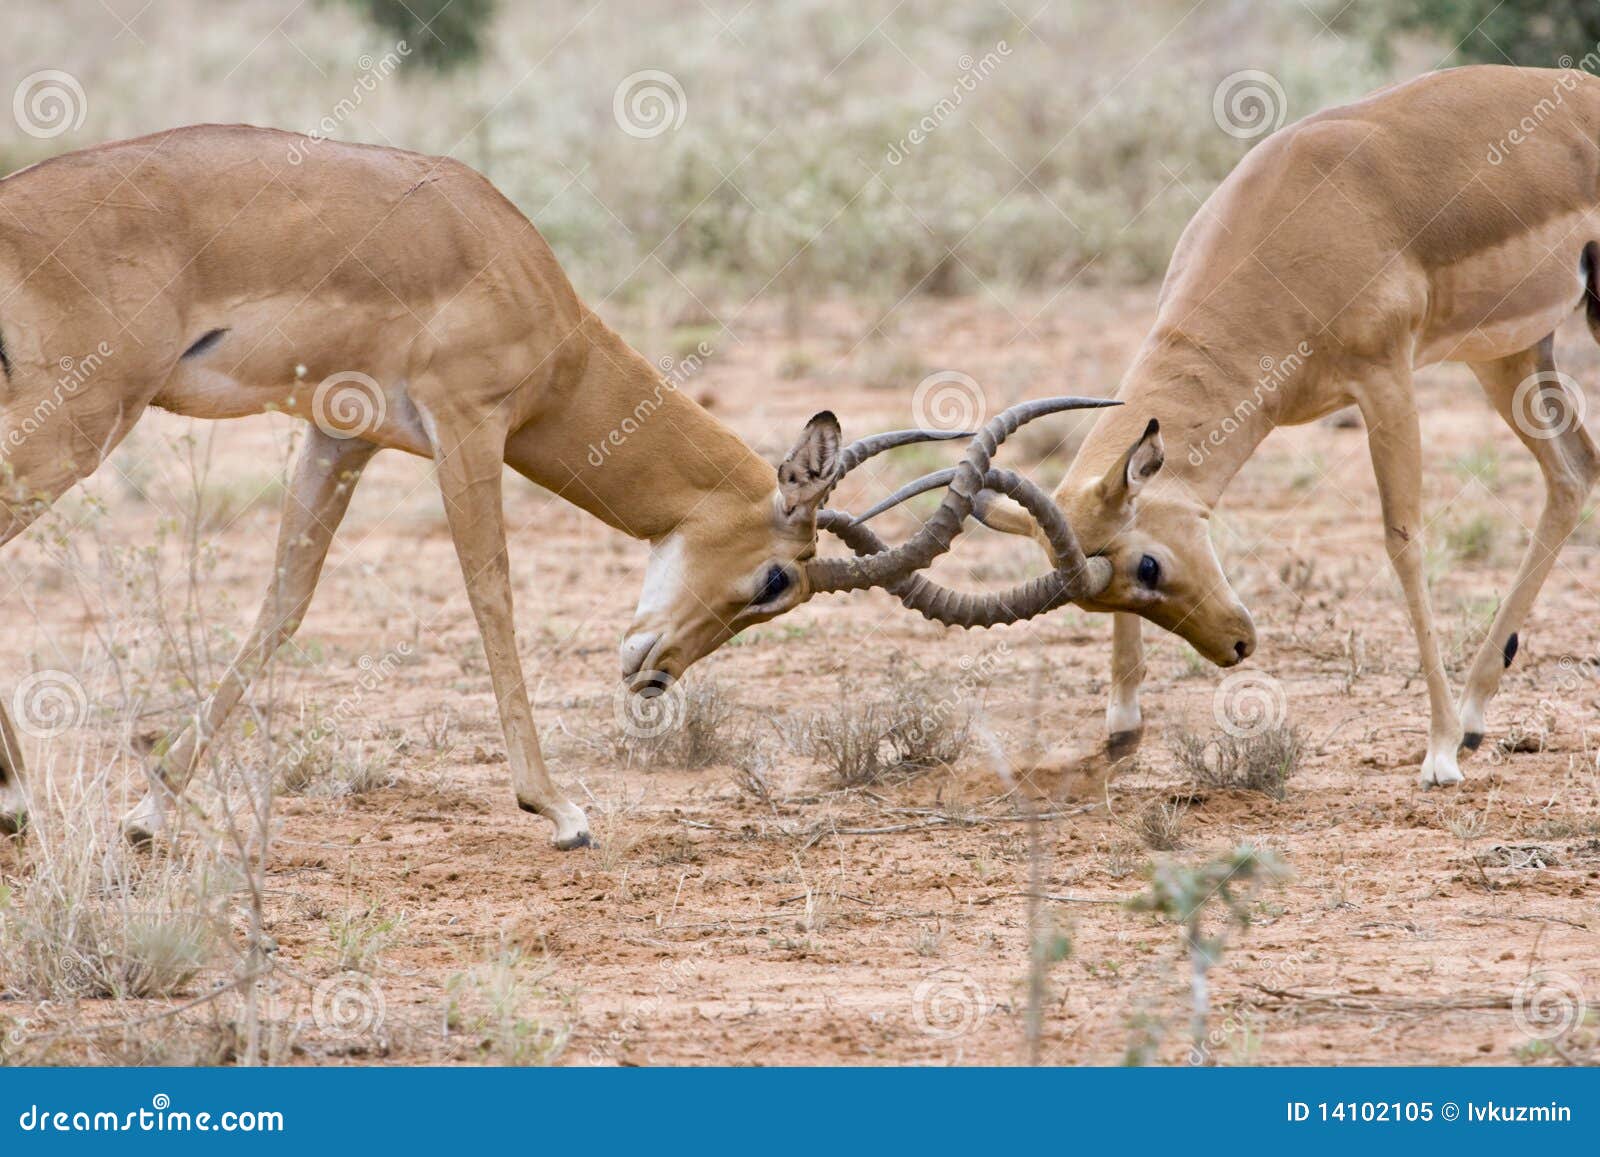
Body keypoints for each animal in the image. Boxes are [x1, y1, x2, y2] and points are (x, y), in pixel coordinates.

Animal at [0, 125, 1107, 847]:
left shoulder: (338, 437)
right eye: (776, 581)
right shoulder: (467, 424)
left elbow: (283, 604)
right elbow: (493, 594)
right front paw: (561, 808)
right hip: (75, 420)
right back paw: (15, 805)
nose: (652, 673)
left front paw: (150, 809)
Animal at [874, 66, 1600, 787]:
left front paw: (1439, 751)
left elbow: (1404, 541)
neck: (1293, 217)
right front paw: (1121, 726)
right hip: (1509, 351)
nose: (1235, 645)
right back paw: (1477, 715)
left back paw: (1464, 727)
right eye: (1104, 600)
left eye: (1149, 564)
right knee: (1573, 474)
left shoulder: (1386, 380)